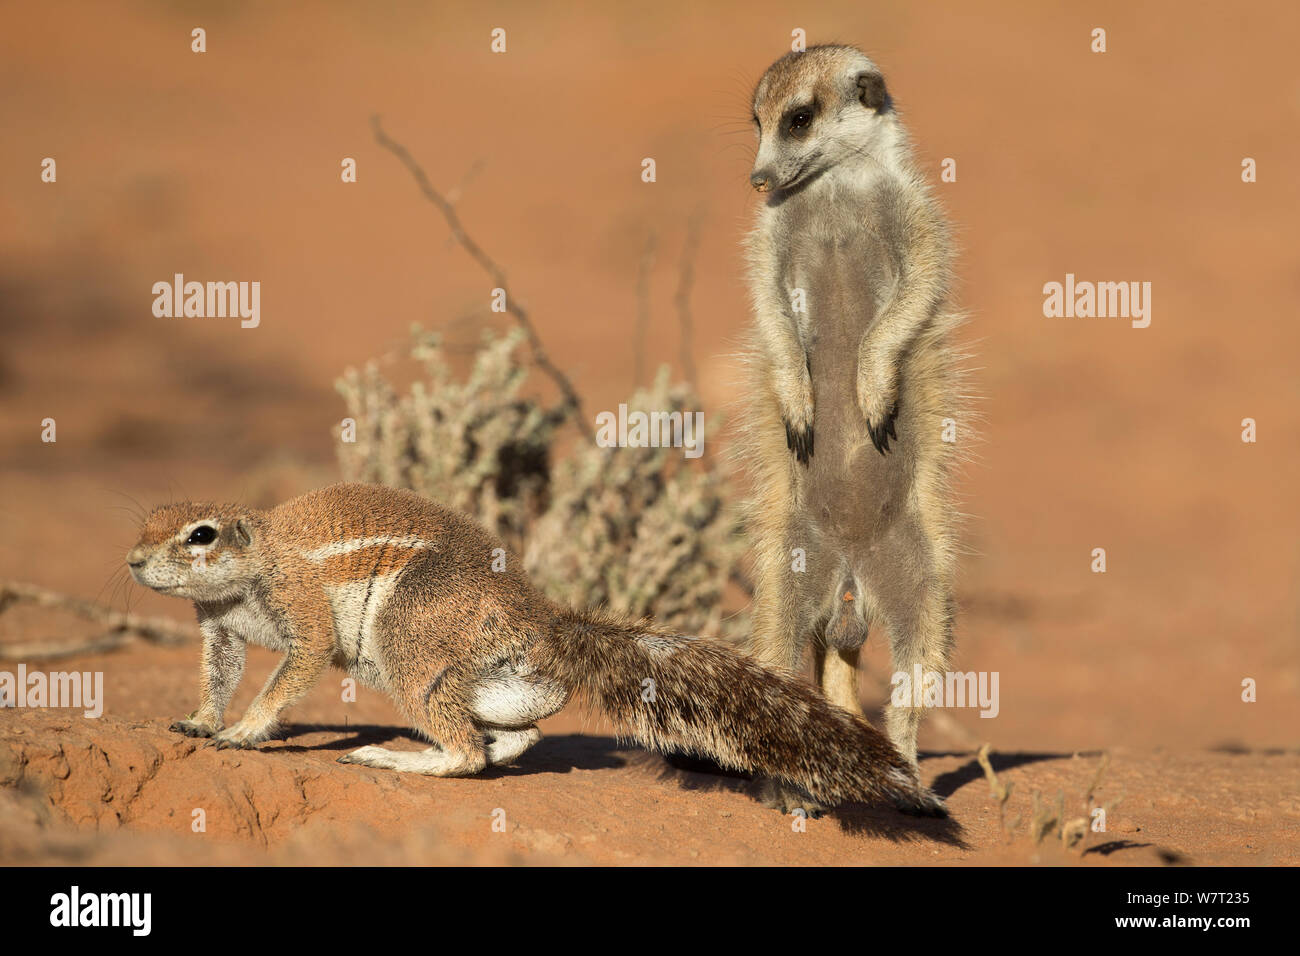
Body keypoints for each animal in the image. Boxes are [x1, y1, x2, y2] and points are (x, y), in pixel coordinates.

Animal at [126, 482, 945, 815]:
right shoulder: (215, 625)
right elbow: (220, 670)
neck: (253, 565)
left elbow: (291, 670)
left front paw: (244, 731)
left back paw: (401, 757)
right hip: (487, 676)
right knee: (521, 732)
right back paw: (487, 748)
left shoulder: (300, 609)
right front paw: (201, 719)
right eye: (148, 521)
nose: (131, 563)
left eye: (199, 535)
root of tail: (546, 622)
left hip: (405, 641)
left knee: (462, 752)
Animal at [737, 45, 969, 798]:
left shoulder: (918, 216)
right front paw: (797, 395)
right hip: (786, 564)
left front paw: (871, 379)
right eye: (757, 121)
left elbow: (917, 288)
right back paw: (784, 781)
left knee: (919, 663)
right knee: (778, 648)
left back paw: (908, 770)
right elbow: (766, 301)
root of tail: (851, 582)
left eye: (799, 118)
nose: (756, 179)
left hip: (923, 569)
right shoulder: (770, 237)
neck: (837, 190)